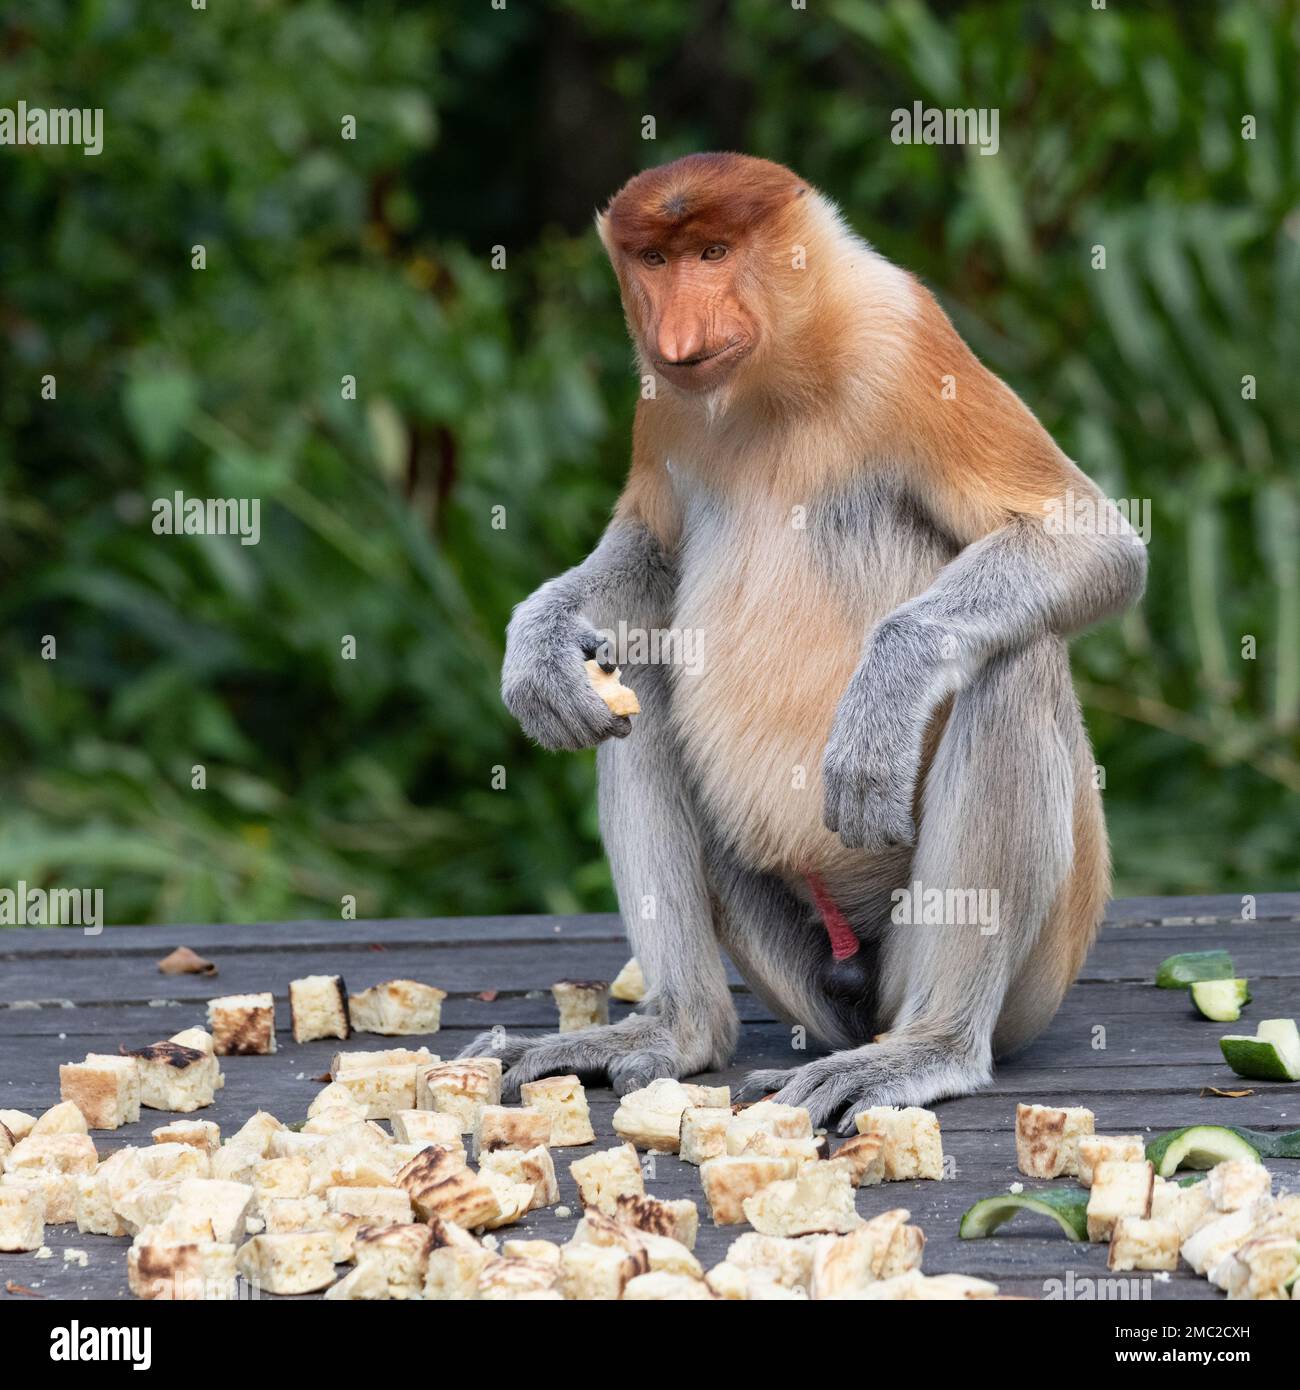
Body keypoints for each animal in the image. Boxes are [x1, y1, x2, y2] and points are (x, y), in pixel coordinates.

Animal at [465, 153, 1146, 1130]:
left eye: (714, 251)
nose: (679, 333)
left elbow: (1089, 541)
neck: (772, 380)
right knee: (646, 673)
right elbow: (653, 555)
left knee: (1011, 665)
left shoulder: (906, 340)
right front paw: (540, 650)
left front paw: (881, 708)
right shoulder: (663, 406)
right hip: (791, 962)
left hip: (1033, 971)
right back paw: (680, 1028)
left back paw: (926, 1049)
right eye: (656, 260)